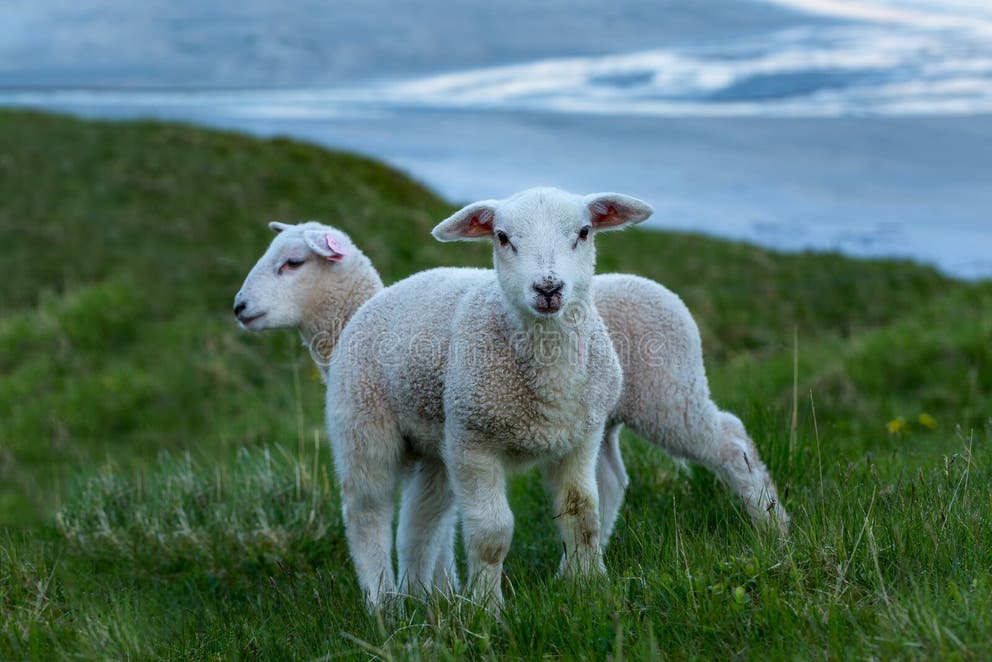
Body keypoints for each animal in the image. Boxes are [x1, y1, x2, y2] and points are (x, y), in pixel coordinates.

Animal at [324, 187, 649, 610]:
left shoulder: (581, 437)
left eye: (583, 232)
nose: (548, 289)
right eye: (502, 237)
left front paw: (587, 587)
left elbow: (582, 514)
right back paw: (384, 603)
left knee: (421, 519)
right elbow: (491, 534)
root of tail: (388, 292)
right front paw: (485, 608)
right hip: (363, 422)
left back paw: (421, 597)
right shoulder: (474, 443)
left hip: (437, 443)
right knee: (367, 512)